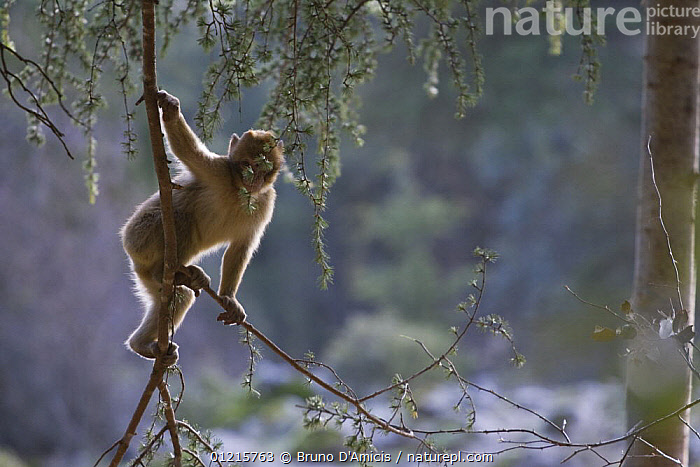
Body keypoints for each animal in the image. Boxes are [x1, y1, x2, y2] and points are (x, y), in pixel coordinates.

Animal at [120, 90, 284, 364]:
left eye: (263, 167)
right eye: (247, 164)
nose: (254, 179)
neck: (239, 191)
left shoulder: (266, 201)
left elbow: (240, 248)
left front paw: (228, 298)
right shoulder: (218, 171)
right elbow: (188, 153)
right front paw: (171, 109)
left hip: (142, 267)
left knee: (177, 297)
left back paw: (141, 344)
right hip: (140, 236)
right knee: (180, 217)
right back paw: (173, 272)